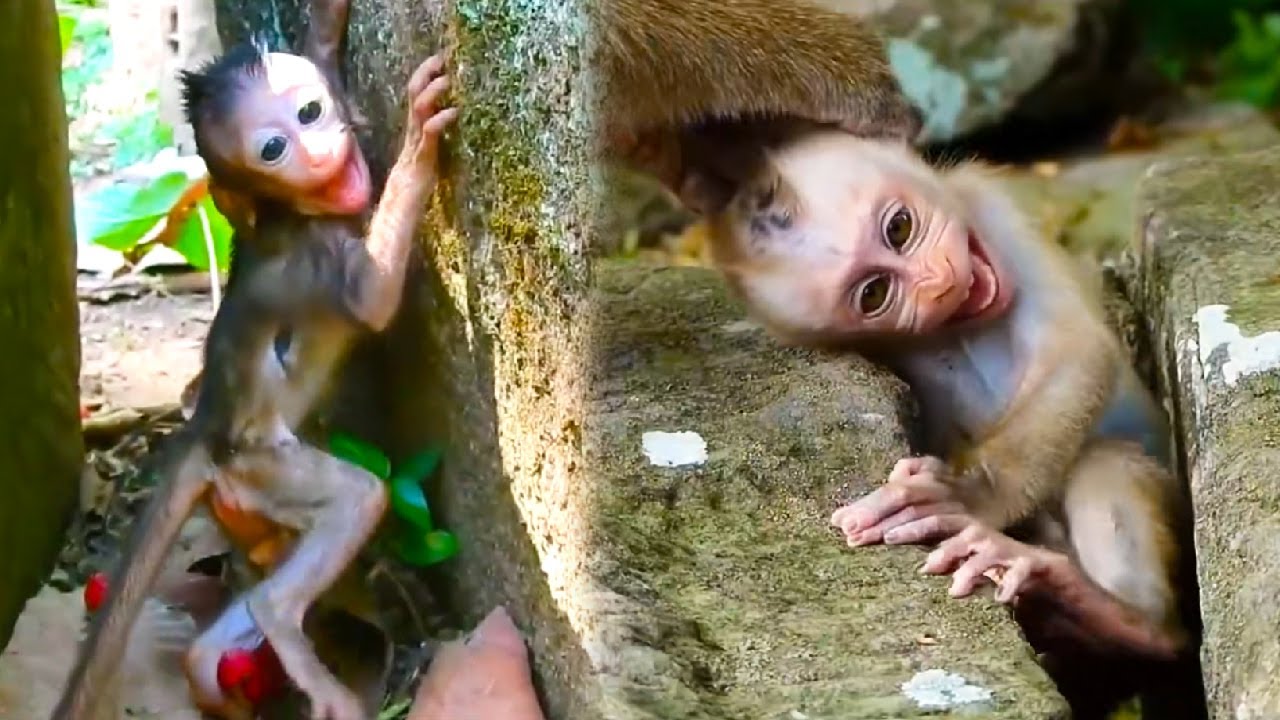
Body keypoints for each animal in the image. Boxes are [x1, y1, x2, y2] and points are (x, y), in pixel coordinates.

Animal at [54, 31, 458, 720]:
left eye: (309, 111)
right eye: (273, 150)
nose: (317, 150)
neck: (294, 212)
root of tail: (205, 425)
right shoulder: (319, 255)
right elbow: (375, 300)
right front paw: (417, 144)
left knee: (208, 648)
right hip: (264, 467)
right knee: (356, 500)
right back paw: (294, 638)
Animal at [692, 129, 1201, 716]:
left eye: (899, 228)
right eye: (874, 293)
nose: (937, 285)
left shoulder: (992, 209)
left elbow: (1078, 353)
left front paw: (960, 496)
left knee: (1105, 460)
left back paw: (1133, 625)